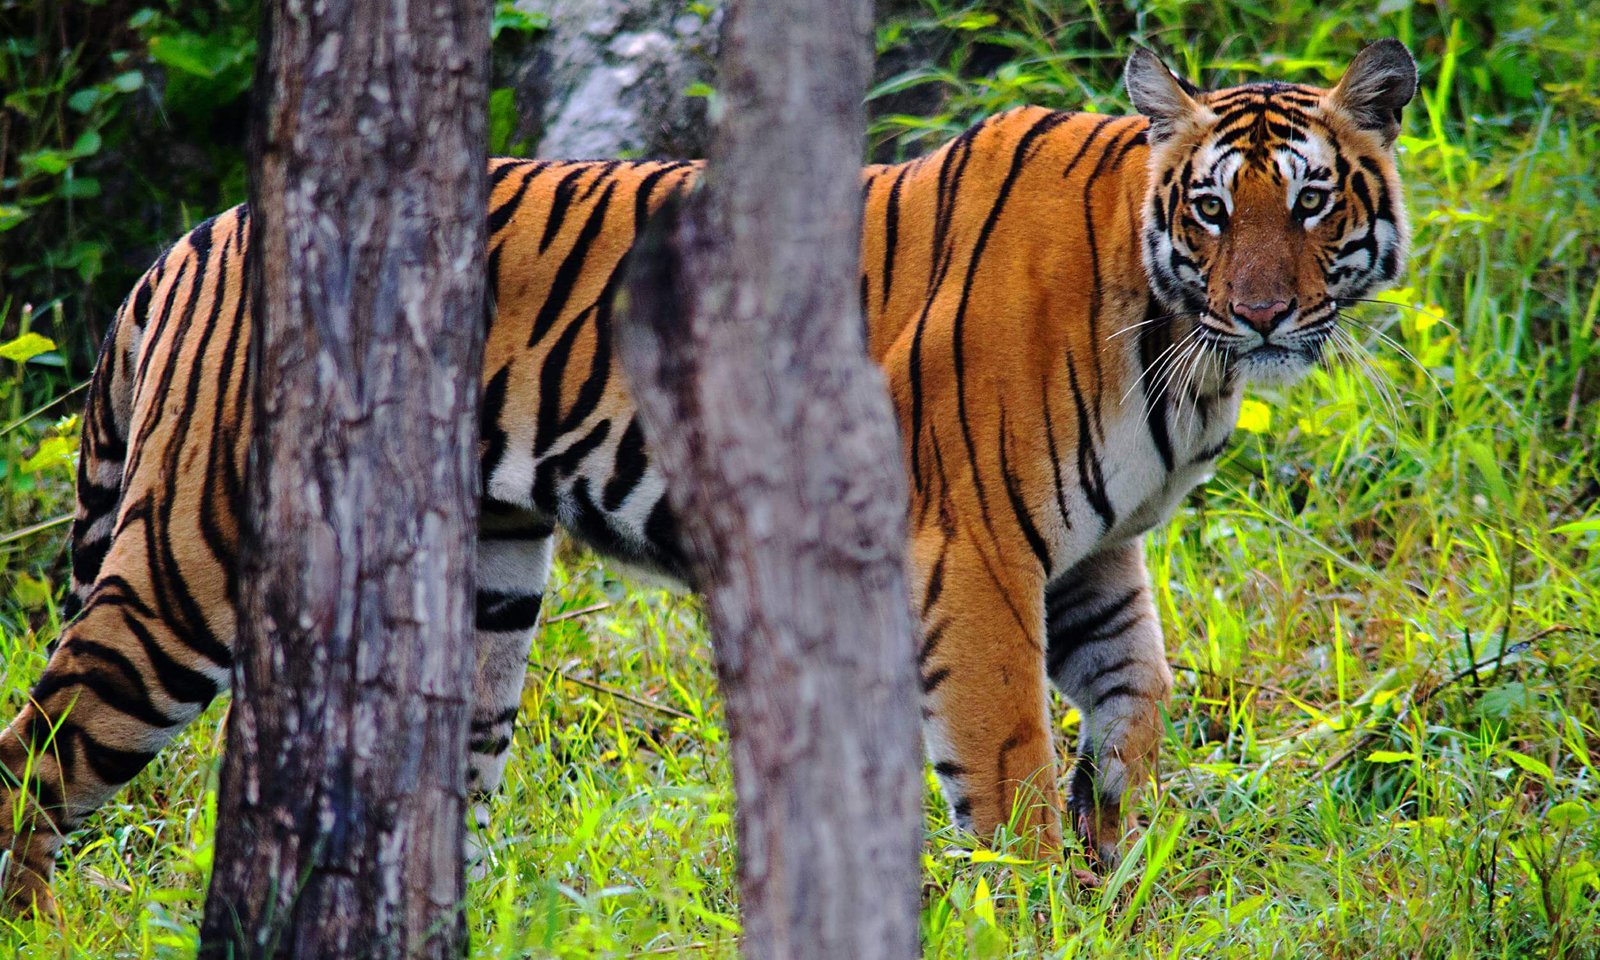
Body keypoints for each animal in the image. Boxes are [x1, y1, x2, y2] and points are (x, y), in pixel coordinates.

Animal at [0, 40, 1416, 912]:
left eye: (1308, 204)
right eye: (1212, 211)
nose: (1265, 313)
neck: (1176, 349)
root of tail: (195, 236)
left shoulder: (1092, 556)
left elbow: (1136, 705)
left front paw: (1111, 867)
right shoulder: (971, 552)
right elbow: (1006, 765)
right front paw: (1035, 907)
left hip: (484, 589)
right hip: (189, 566)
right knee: (41, 749)